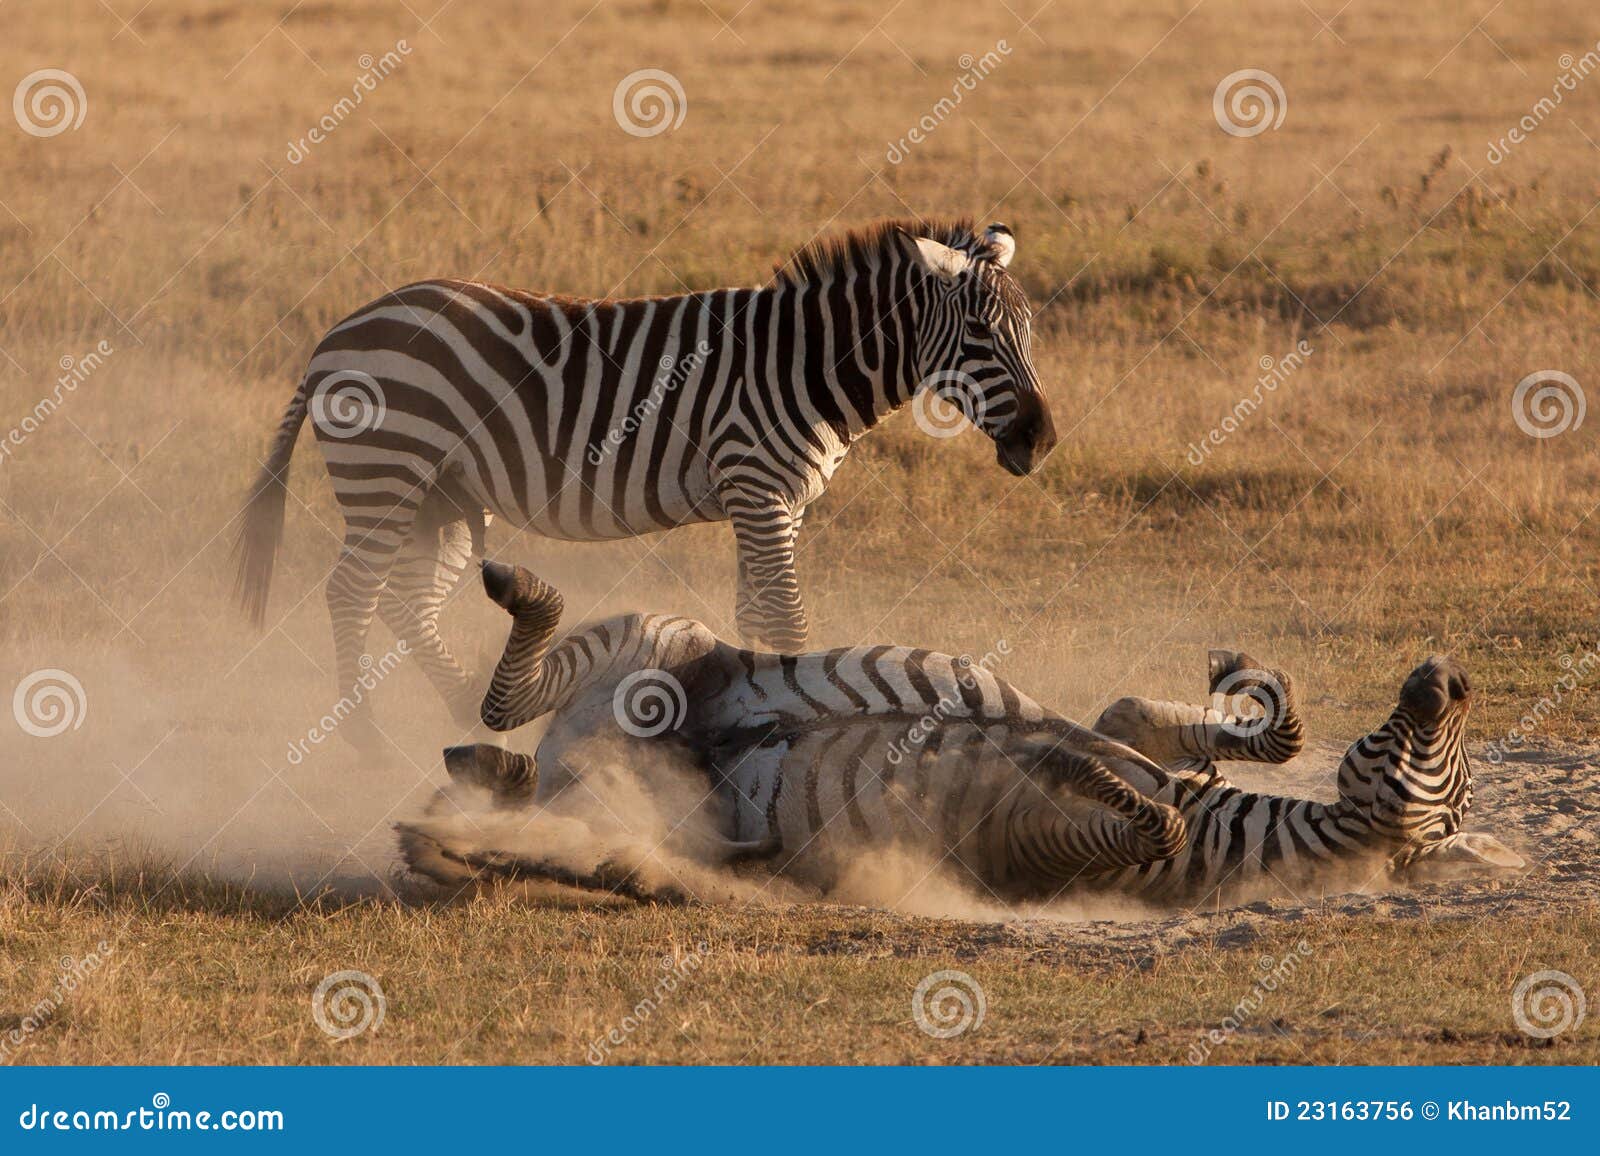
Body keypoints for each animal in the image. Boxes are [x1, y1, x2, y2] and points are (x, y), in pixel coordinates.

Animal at [233, 218, 1055, 753]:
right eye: (981, 336)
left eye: (1029, 332)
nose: (1042, 442)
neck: (804, 364)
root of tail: (339, 333)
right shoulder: (759, 490)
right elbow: (788, 624)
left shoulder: (765, 502)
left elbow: (756, 616)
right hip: (389, 474)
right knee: (353, 594)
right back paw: (363, 740)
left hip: (443, 495)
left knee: (407, 602)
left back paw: (467, 708)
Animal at [399, 563, 1524, 904]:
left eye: (1449, 783)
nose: (1448, 675)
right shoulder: (1121, 732)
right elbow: (1146, 727)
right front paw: (1243, 683)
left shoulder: (1047, 848)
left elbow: (1140, 808)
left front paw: (1084, 768)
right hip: (662, 641)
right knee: (516, 699)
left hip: (633, 764)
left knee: (520, 755)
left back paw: (456, 823)